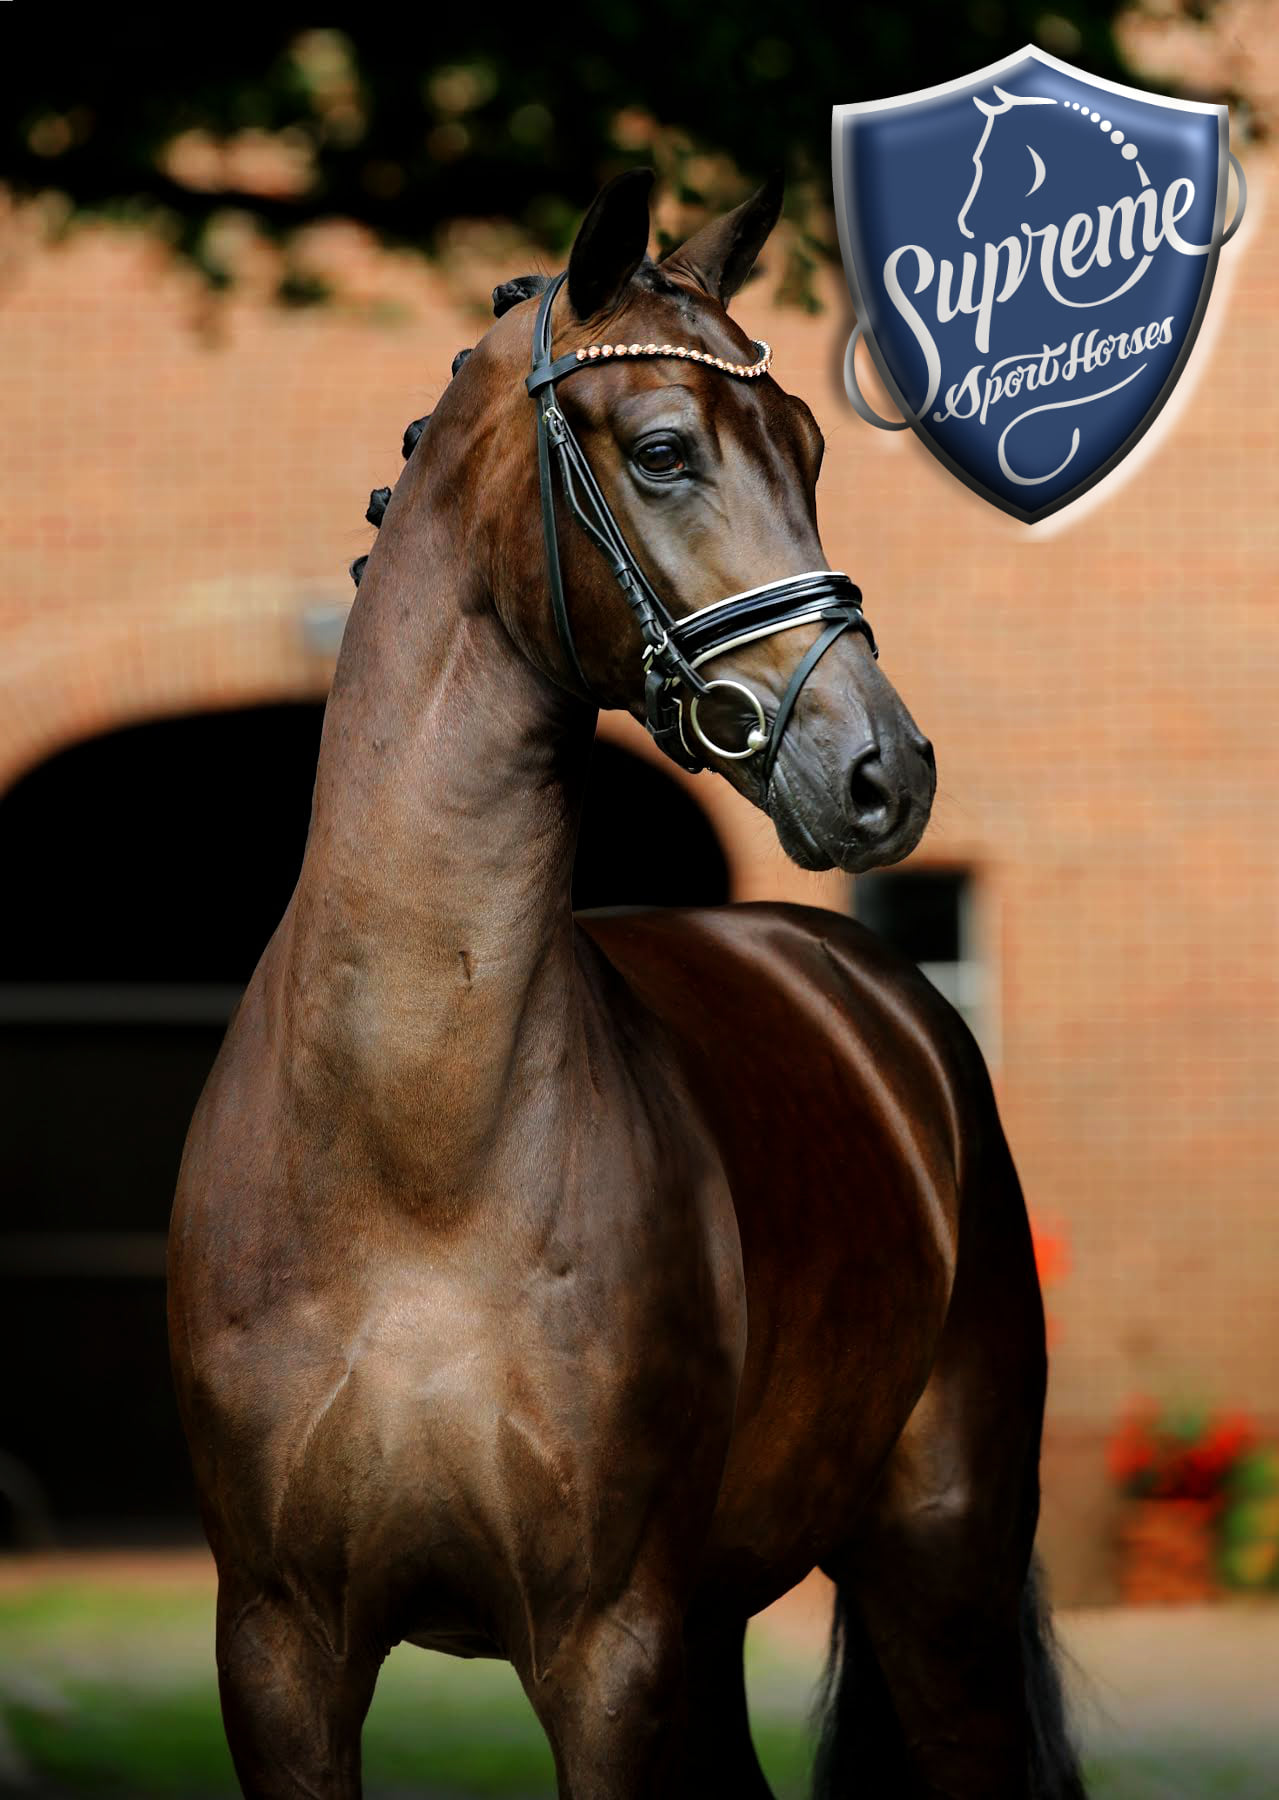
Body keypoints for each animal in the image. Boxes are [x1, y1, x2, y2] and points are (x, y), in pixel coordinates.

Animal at [167, 168, 1086, 1799]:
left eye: (809, 450)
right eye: (663, 450)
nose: (882, 770)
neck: (413, 1160)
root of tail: (878, 1001)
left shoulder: (607, 1652)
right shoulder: (277, 1652)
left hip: (939, 1577)